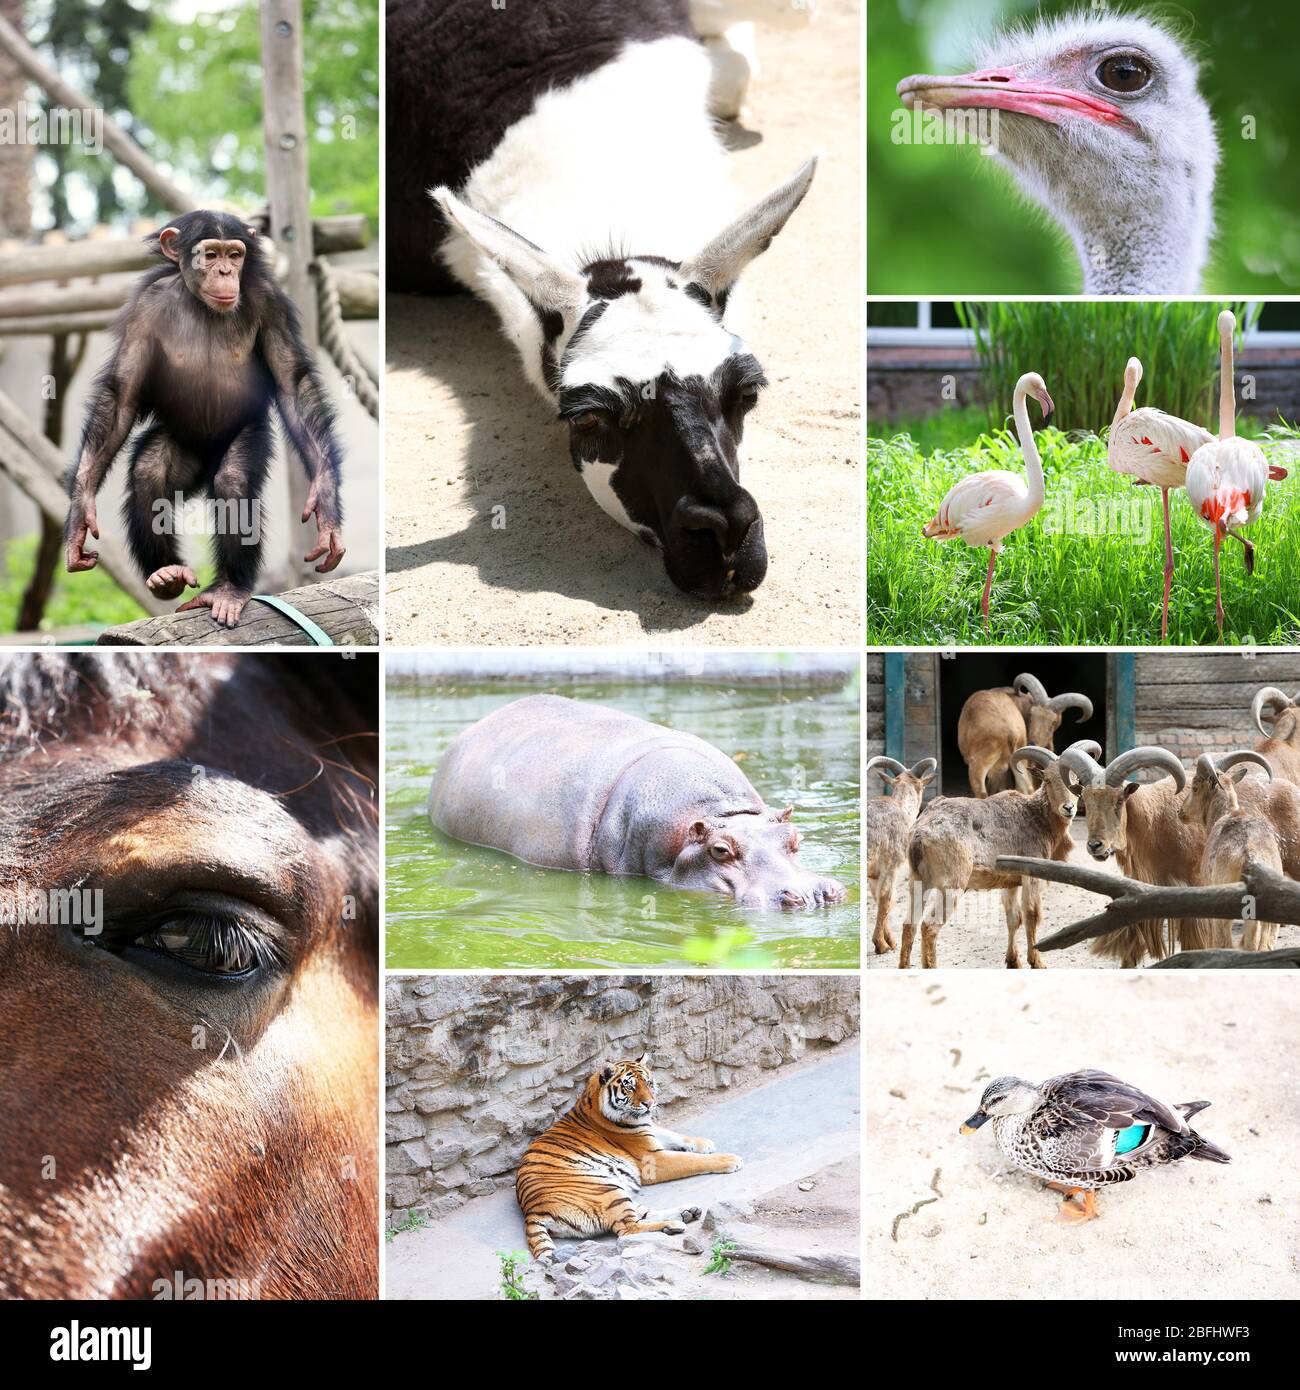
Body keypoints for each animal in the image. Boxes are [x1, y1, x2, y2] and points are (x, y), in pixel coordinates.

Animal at [866, 755, 937, 956]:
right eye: (922, 787)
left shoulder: (873, 873)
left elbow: (880, 899)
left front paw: (889, 941)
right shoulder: (891, 865)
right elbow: (887, 899)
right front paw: (882, 944)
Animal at [902, 740, 1100, 970]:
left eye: (1075, 781)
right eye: (1048, 780)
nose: (1068, 808)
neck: (1035, 816)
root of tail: (920, 833)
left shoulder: (1011, 882)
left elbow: (1014, 918)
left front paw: (1013, 961)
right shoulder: (1032, 877)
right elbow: (1032, 915)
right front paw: (1037, 962)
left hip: (917, 881)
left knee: (909, 924)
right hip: (951, 885)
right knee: (929, 926)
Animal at [956, 672, 1093, 797]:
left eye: (1053, 722)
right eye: (1031, 715)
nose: (1033, 743)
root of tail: (1009, 729)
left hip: (981, 762)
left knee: (982, 791)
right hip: (1018, 757)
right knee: (1025, 788)